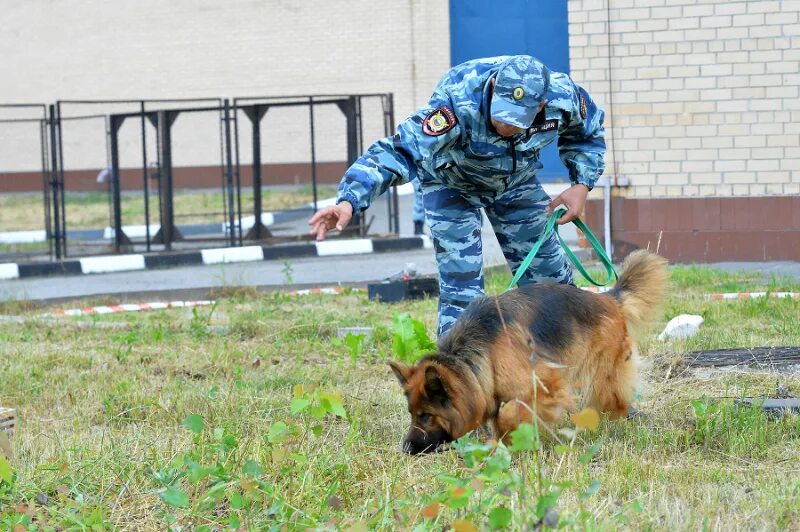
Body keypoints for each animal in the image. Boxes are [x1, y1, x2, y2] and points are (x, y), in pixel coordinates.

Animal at [390, 249, 668, 454]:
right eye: (412, 414)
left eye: (426, 416)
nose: (406, 449)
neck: (476, 355)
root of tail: (609, 297)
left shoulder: (544, 383)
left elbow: (509, 413)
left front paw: (507, 439)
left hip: (602, 373)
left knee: (614, 399)